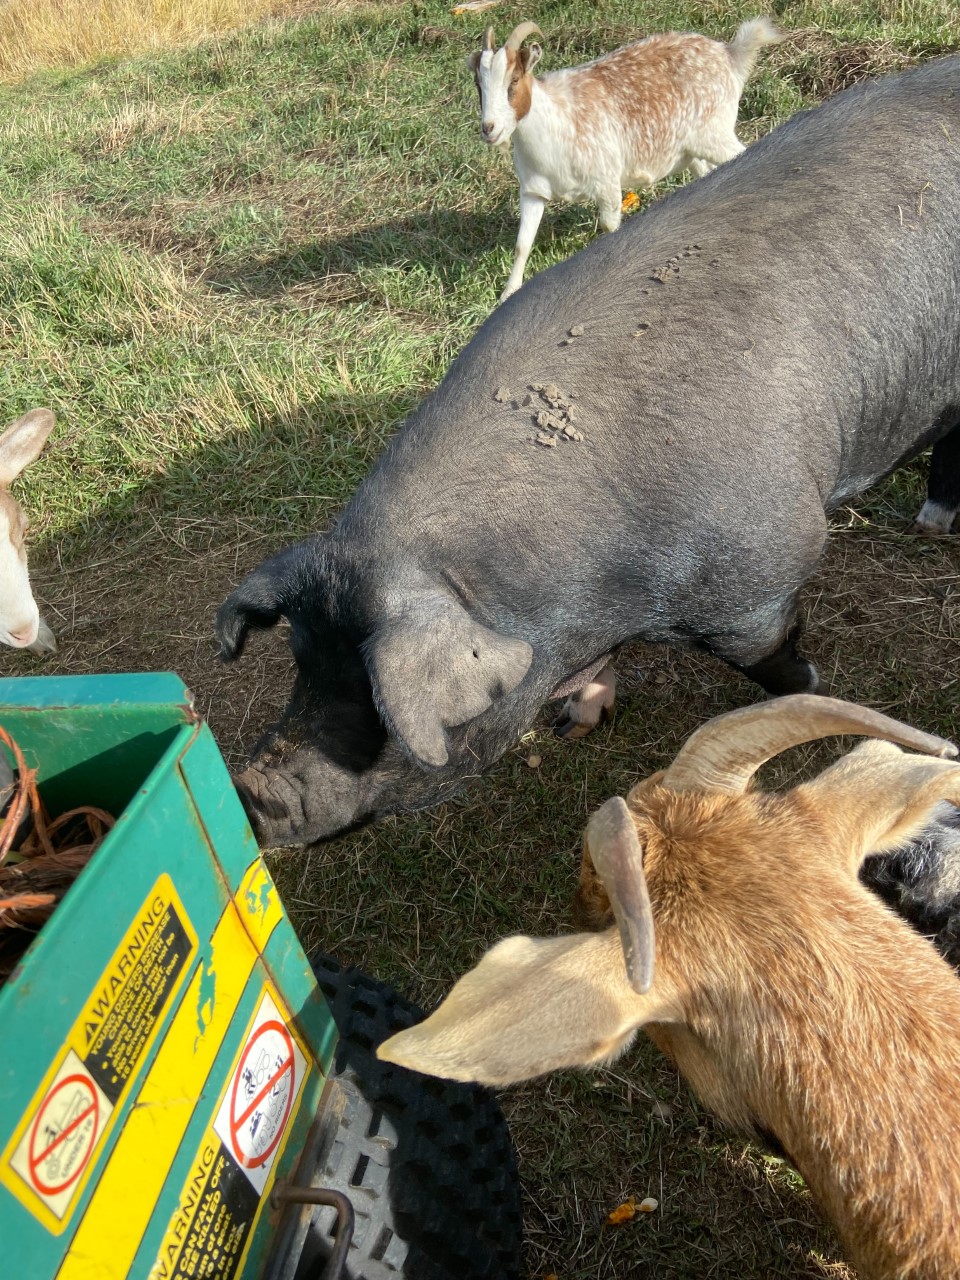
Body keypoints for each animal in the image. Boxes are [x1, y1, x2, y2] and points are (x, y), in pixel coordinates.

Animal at [216, 55, 960, 847]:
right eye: (301, 661)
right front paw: (576, 723)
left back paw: (933, 523)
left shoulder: (762, 576)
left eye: (378, 705)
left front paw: (808, 697)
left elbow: (778, 669)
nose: (250, 790)